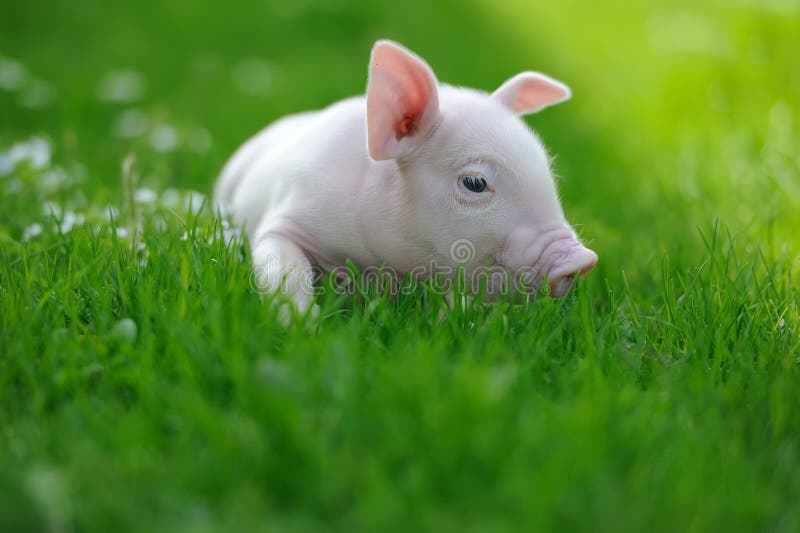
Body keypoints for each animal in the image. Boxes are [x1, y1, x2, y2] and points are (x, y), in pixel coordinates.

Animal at [215, 40, 597, 313]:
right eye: (475, 183)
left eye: (546, 169)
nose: (583, 260)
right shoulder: (287, 216)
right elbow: (284, 273)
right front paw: (303, 329)